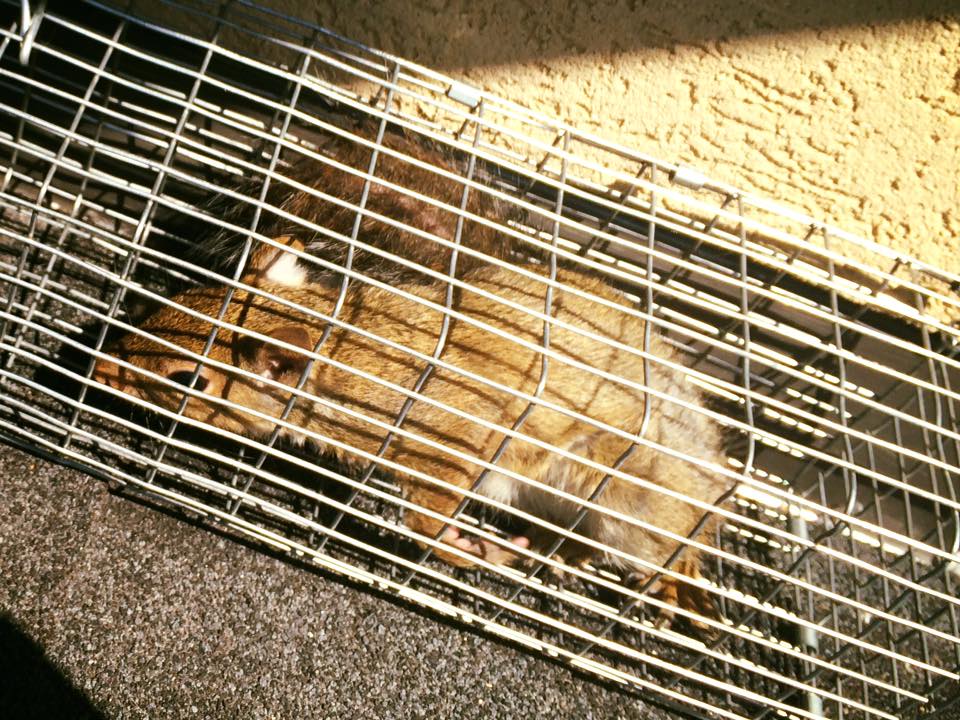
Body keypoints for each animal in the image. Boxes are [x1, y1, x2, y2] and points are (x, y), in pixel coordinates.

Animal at [93, 238, 730, 627]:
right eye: (186, 296)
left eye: (188, 379)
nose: (101, 367)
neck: (346, 350)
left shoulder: (451, 442)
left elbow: (428, 525)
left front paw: (476, 549)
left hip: (630, 506)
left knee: (676, 554)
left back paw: (663, 584)